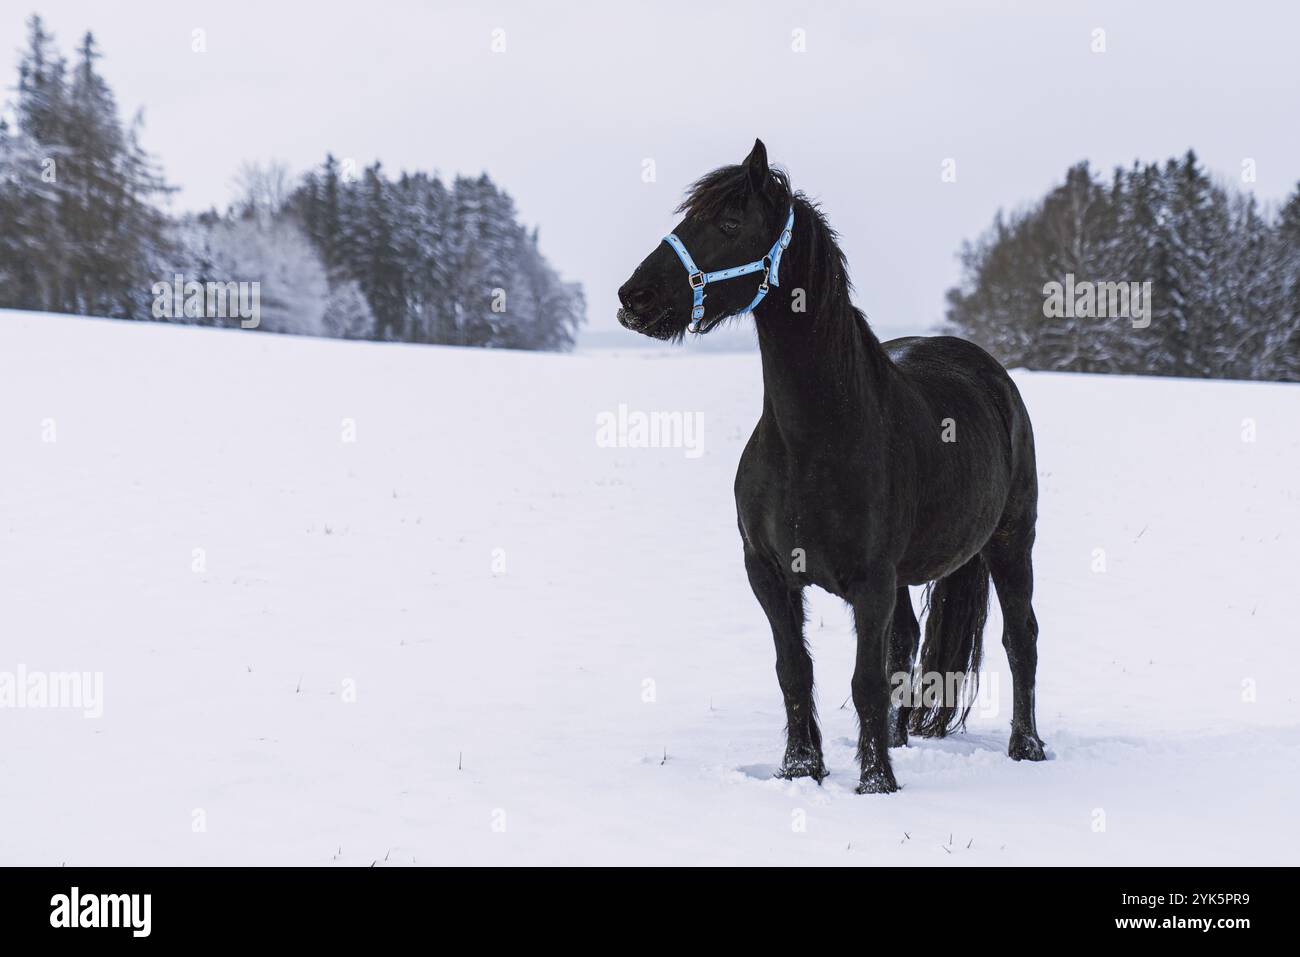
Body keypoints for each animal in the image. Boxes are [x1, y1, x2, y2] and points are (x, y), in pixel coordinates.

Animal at [616, 140, 1045, 794]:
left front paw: (876, 784)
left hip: (1011, 541)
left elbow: (864, 681)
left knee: (1020, 638)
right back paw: (899, 740)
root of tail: (988, 371)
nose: (633, 298)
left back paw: (1027, 748)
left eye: (730, 223)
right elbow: (795, 670)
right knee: (906, 643)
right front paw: (801, 768)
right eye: (687, 216)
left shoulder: (870, 581)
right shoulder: (768, 573)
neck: (811, 442)